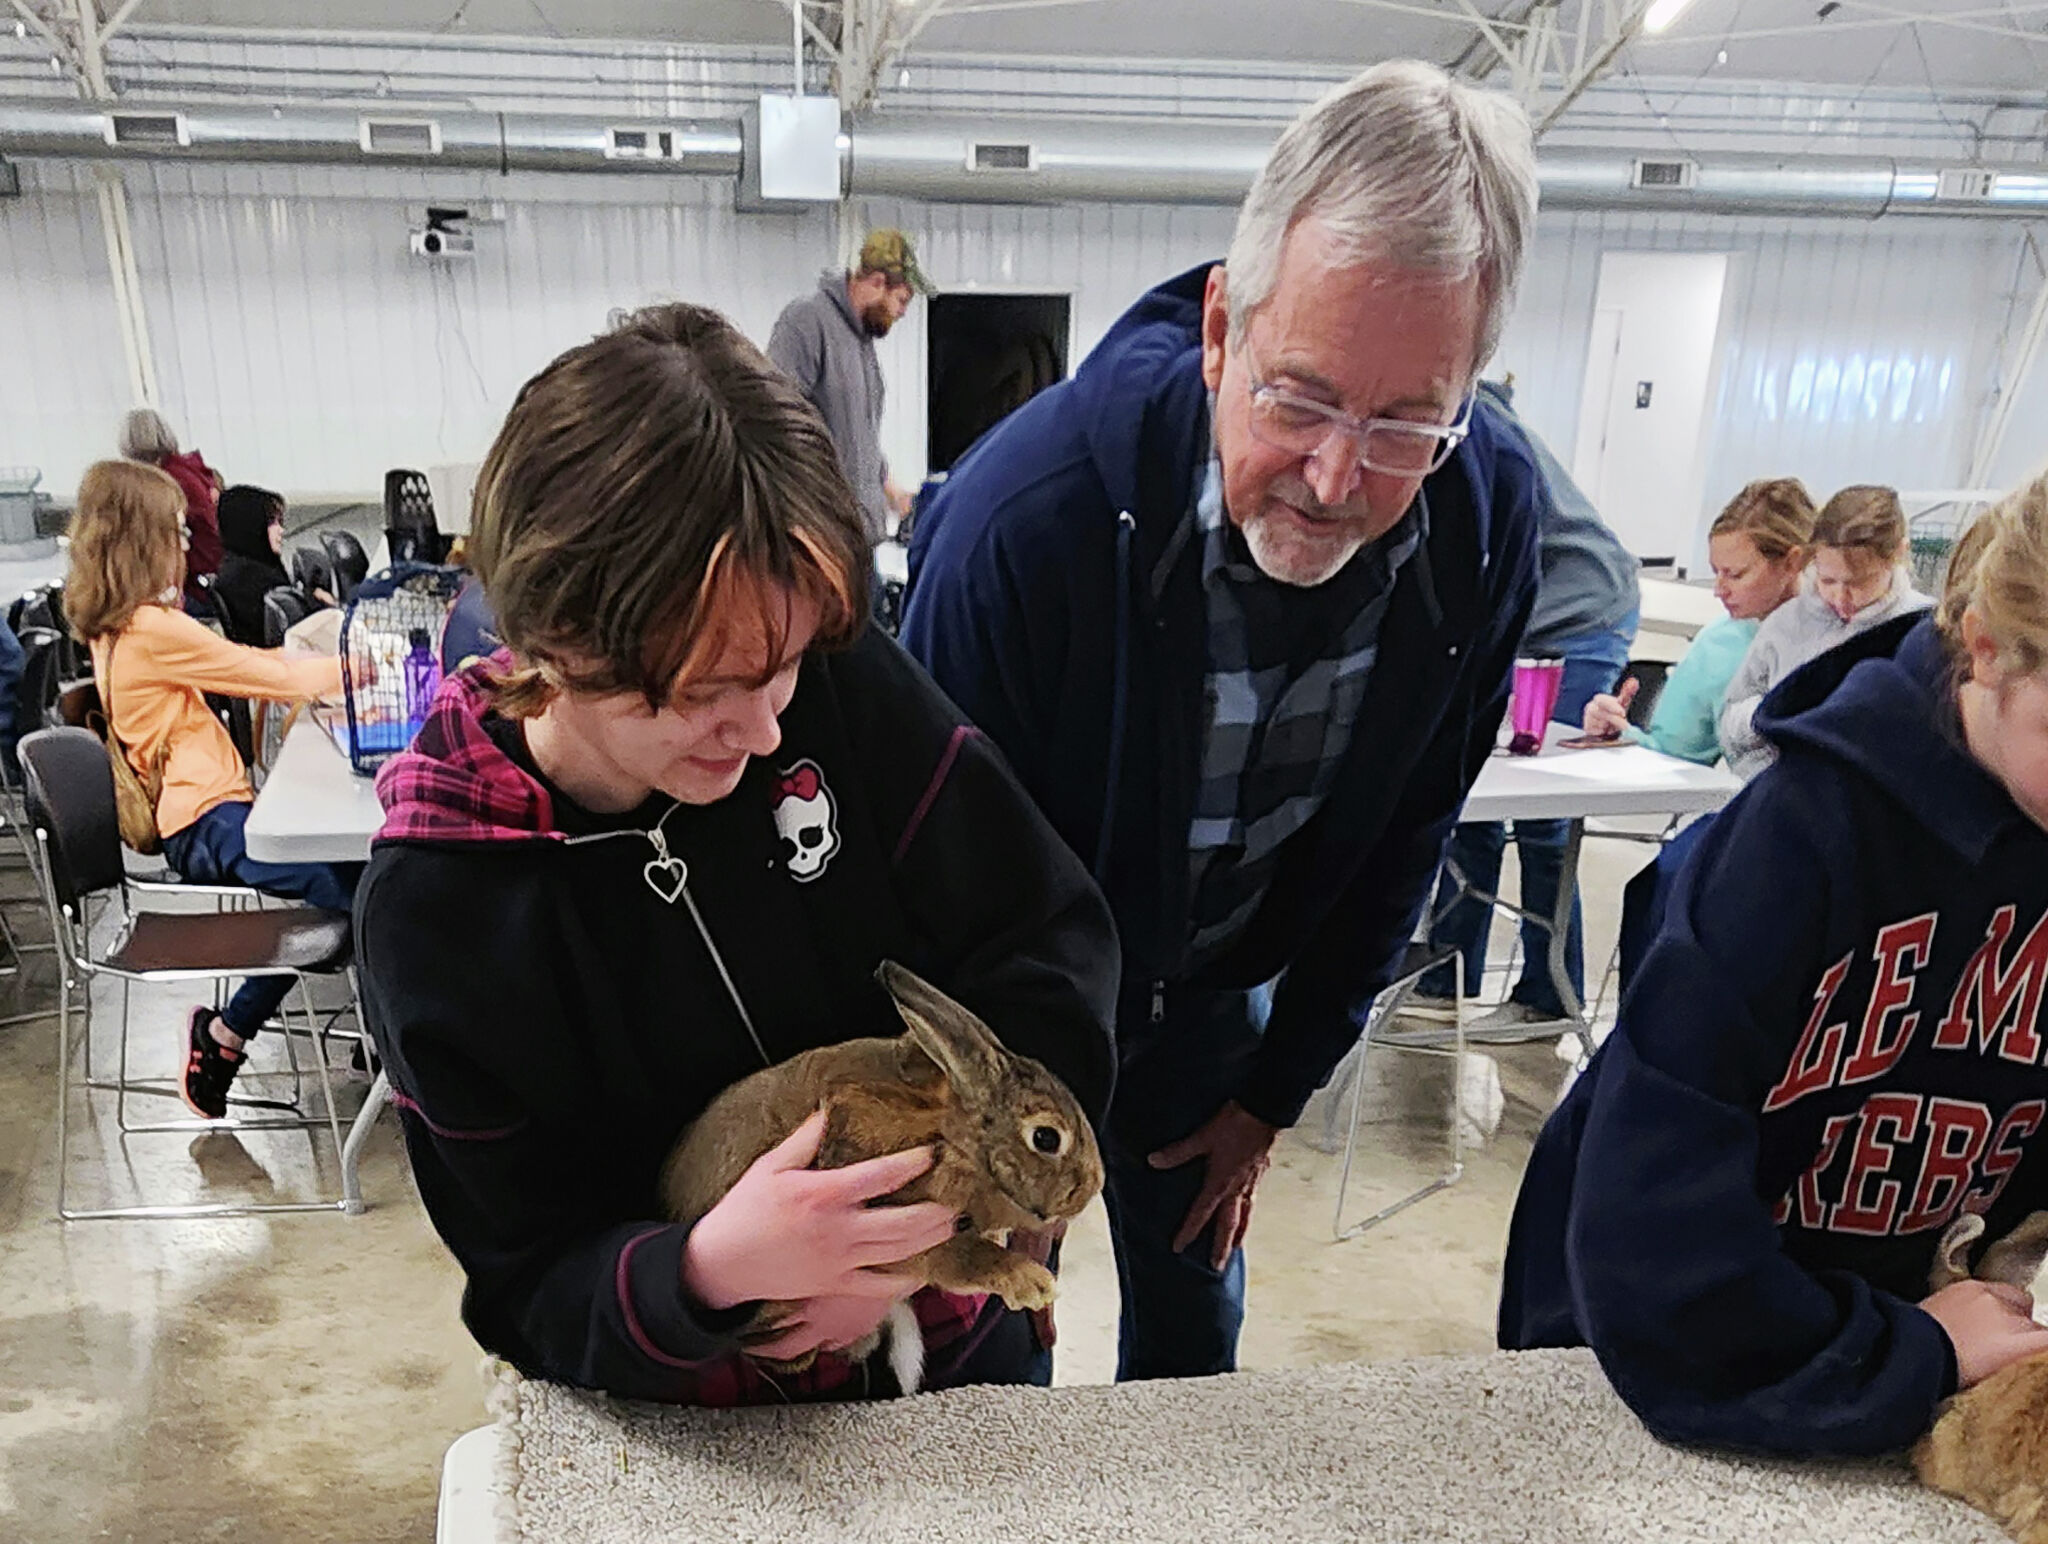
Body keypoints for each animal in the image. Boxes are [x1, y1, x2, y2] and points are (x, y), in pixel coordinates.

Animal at [659, 959, 1104, 1393]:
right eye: (1046, 1138)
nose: (1092, 1187)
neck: (955, 1135)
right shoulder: (910, 1233)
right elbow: (968, 1260)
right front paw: (1033, 1284)